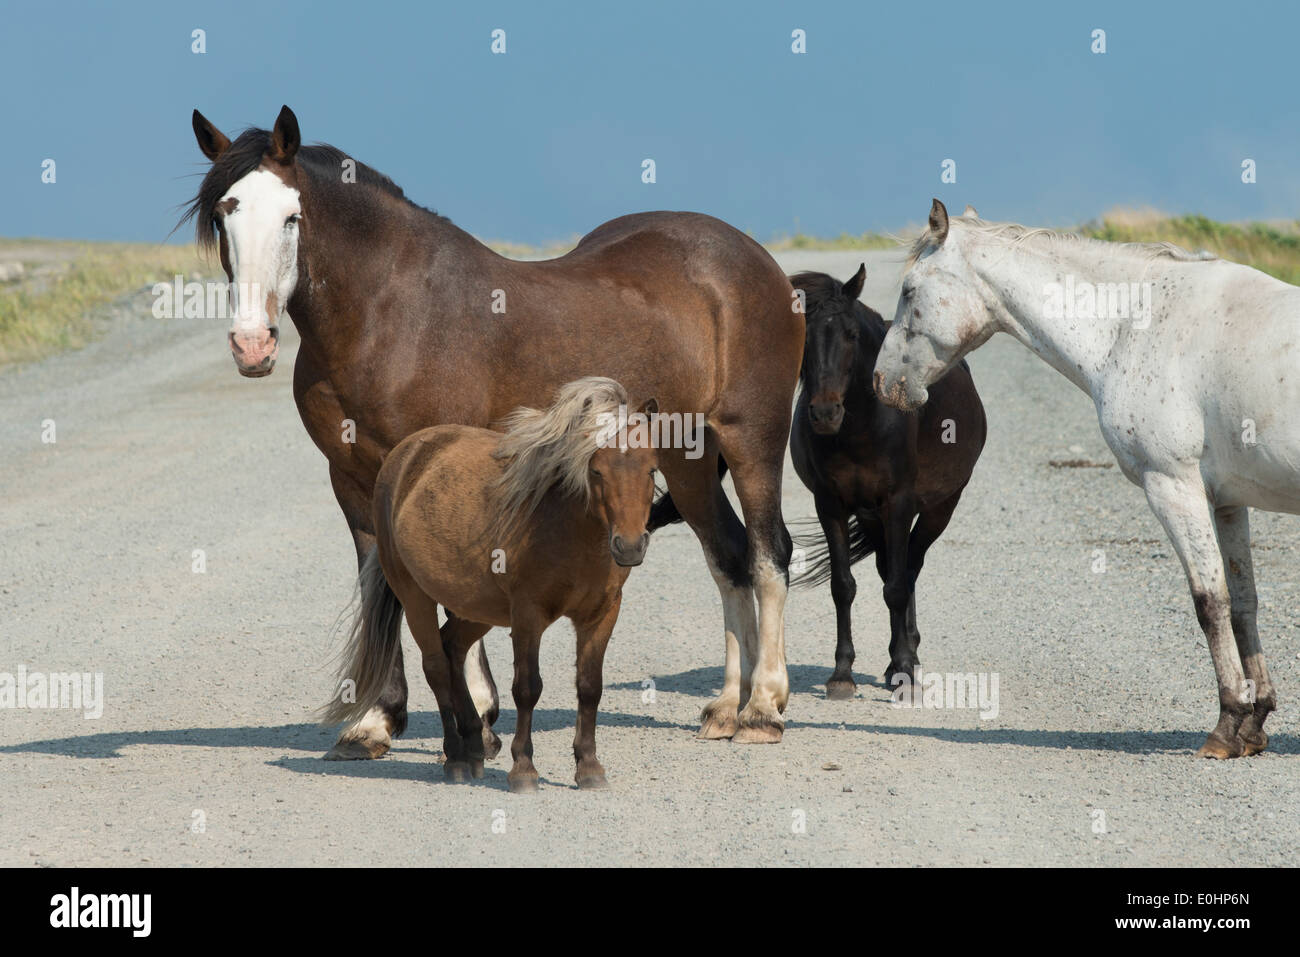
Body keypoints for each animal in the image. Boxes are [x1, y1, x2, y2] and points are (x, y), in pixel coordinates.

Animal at [322, 378, 658, 791]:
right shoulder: (528, 615)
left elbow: (589, 687)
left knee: (452, 647)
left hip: (476, 608)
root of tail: (406, 453)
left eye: (651, 470)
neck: (566, 526)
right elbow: (527, 689)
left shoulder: (601, 614)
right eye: (596, 471)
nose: (630, 546)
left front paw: (590, 767)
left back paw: (473, 745)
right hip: (415, 596)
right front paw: (524, 769)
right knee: (436, 666)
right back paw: (456, 757)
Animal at [788, 266, 985, 698]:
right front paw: (842, 674)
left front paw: (906, 672)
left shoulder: (899, 503)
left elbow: (896, 586)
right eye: (803, 336)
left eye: (851, 334)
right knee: (890, 567)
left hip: (938, 508)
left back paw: (906, 655)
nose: (825, 413)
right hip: (871, 517)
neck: (863, 425)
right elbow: (843, 586)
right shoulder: (831, 504)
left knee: (908, 569)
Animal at [874, 198, 1299, 758]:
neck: (1134, 325)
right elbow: (1243, 602)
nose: (882, 382)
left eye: (909, 291)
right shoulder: (1228, 501)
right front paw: (1254, 723)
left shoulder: (1173, 488)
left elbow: (1210, 602)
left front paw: (1227, 725)